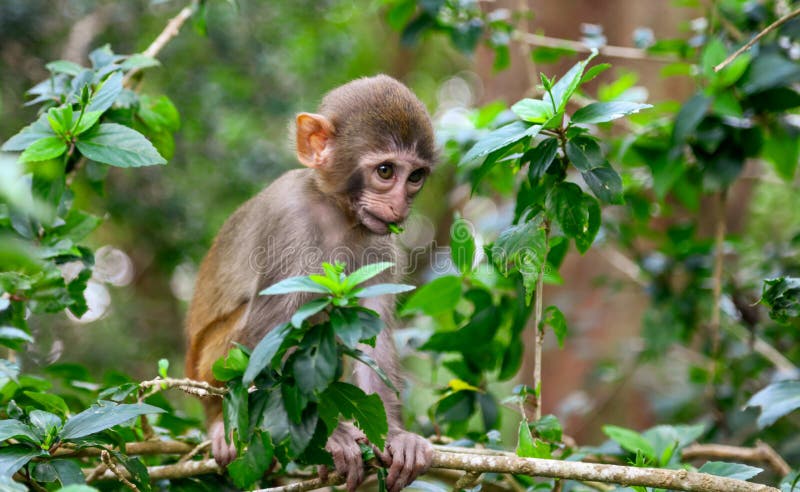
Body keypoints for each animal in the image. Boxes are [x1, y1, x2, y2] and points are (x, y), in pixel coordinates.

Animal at [185, 75, 435, 492]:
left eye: (415, 177)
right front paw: (332, 437)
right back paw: (221, 424)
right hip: (205, 367)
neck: (337, 211)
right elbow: (264, 338)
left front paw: (395, 436)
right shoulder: (290, 224)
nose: (400, 206)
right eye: (386, 171)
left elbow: (370, 333)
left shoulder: (381, 244)